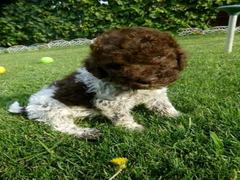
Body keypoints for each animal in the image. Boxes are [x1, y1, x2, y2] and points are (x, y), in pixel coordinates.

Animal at [8, 26, 187, 139]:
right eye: (119, 65)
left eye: (159, 57)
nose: (146, 80)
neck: (134, 88)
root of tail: (28, 106)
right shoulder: (110, 102)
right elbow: (121, 115)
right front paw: (132, 128)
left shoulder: (156, 95)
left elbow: (164, 105)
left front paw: (176, 116)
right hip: (53, 110)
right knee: (62, 126)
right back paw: (87, 133)